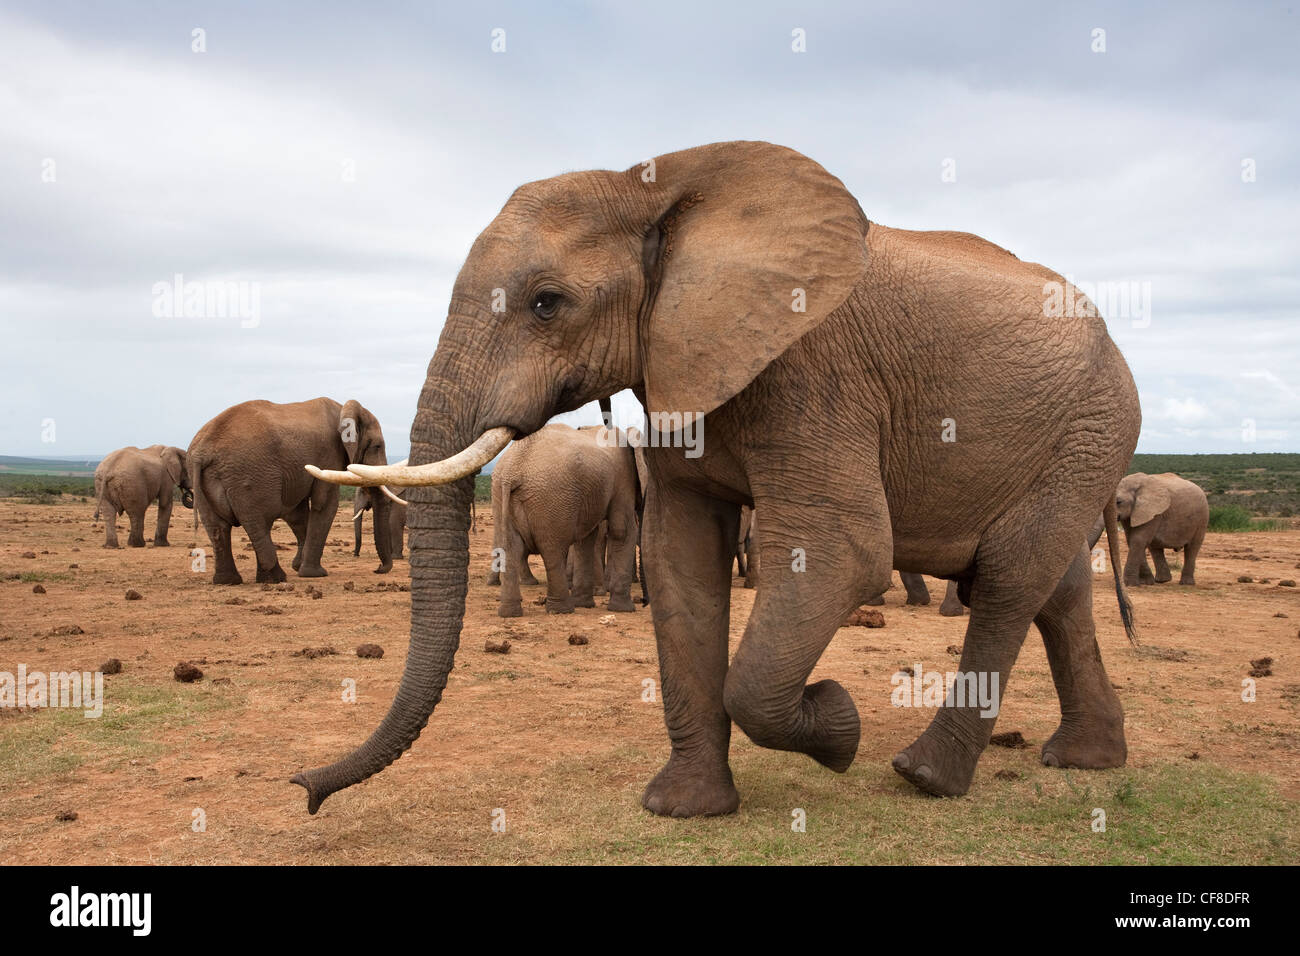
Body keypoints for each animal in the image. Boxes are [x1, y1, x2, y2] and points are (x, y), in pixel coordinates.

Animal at [188, 397, 399, 584]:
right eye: (377, 446)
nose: (378, 569)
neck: (342, 409)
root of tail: (201, 453)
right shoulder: (328, 453)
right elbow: (325, 505)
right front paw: (314, 574)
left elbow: (297, 513)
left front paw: (298, 566)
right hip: (251, 478)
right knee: (261, 521)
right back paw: (275, 578)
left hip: (206, 480)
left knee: (217, 527)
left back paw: (228, 581)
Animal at [487, 423, 640, 616]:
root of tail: (512, 471)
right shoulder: (623, 476)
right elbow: (622, 530)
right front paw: (624, 609)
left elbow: (586, 538)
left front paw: (585, 604)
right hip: (551, 496)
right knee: (552, 550)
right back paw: (562, 609)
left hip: (499, 493)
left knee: (512, 548)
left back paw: (510, 613)